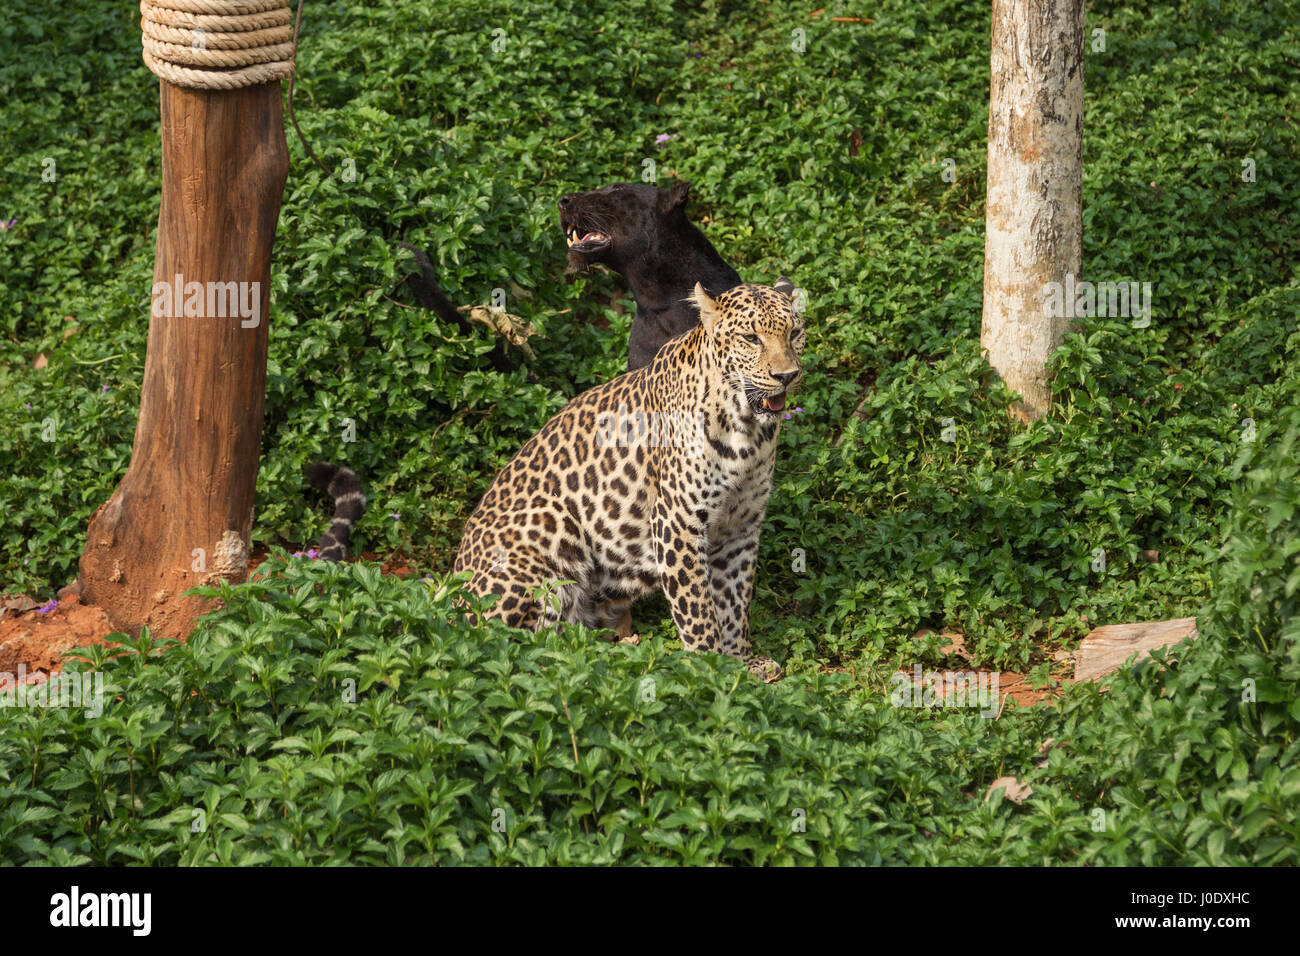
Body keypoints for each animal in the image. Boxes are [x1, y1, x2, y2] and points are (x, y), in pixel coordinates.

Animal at [453, 279, 805, 681]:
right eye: (751, 338)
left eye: (794, 334)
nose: (787, 376)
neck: (745, 430)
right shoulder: (678, 521)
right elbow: (698, 607)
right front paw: (709, 670)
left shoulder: (740, 526)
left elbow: (734, 599)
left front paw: (741, 662)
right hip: (549, 530)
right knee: (503, 645)